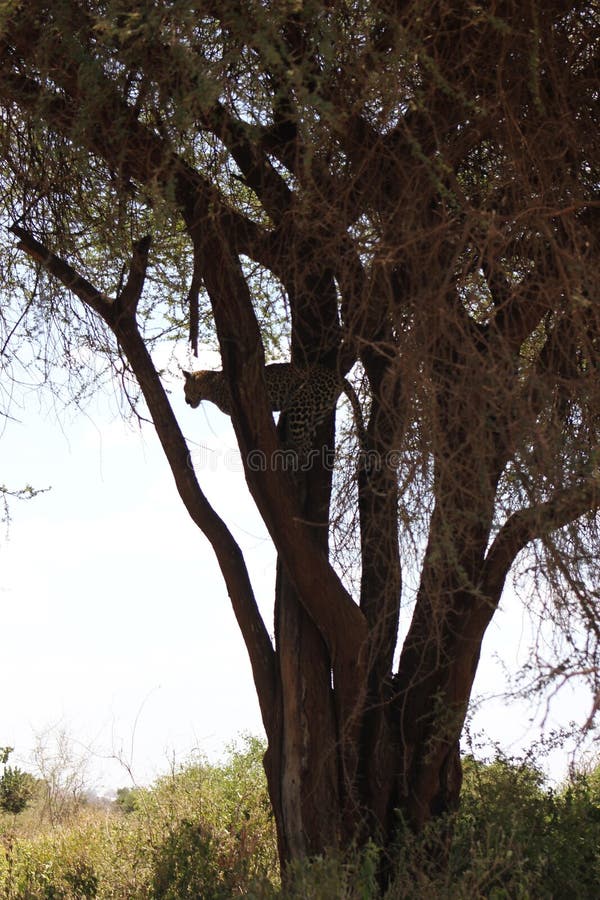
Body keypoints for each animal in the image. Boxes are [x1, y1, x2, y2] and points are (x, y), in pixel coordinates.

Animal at [183, 362, 364, 458]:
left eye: (185, 389)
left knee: (303, 443)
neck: (210, 386)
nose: (185, 401)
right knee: (308, 441)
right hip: (319, 408)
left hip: (300, 401)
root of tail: (337, 376)